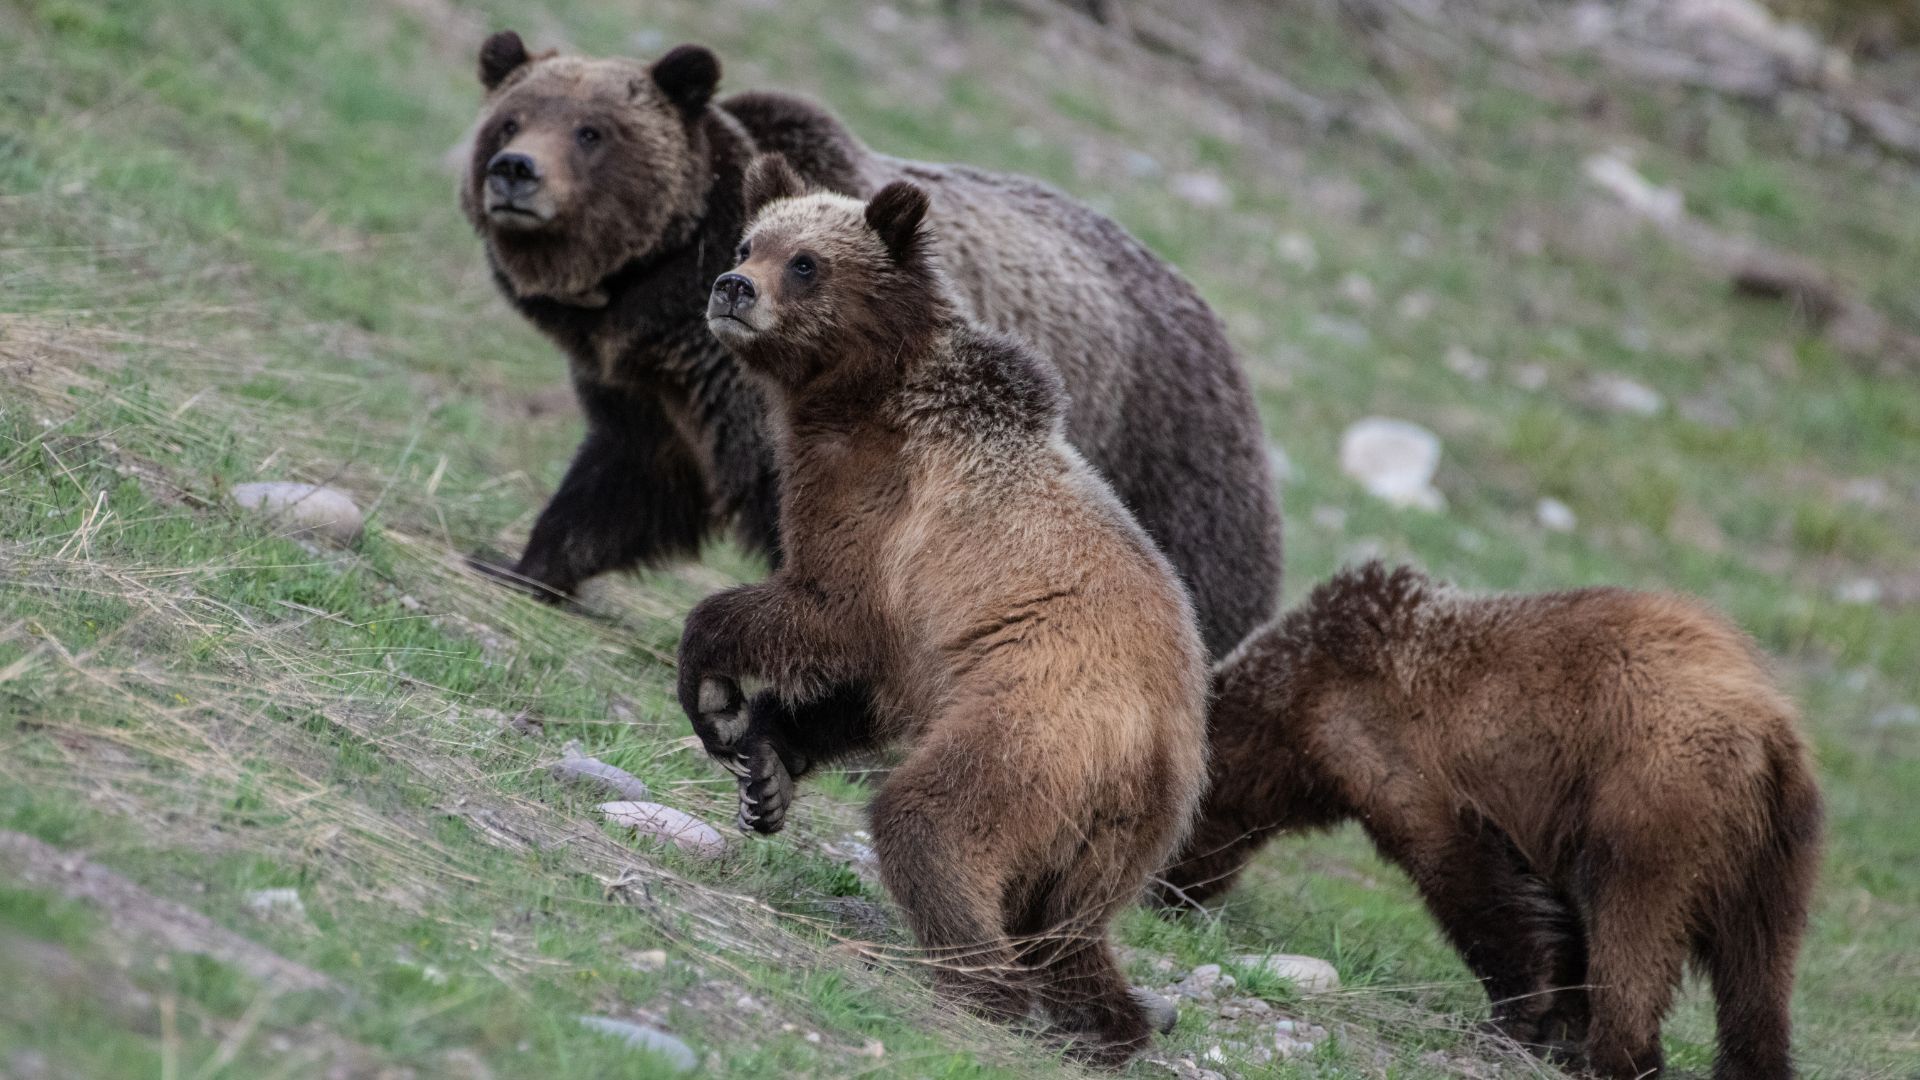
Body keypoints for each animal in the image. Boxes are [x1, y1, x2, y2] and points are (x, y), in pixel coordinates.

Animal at [457, 31, 1281, 663]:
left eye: (591, 131)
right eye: (510, 120)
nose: (514, 171)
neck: (662, 294)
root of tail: (1220, 327)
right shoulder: (657, 397)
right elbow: (618, 484)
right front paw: (520, 564)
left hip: (1163, 461)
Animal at [672, 156, 1209, 1066]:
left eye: (807, 262)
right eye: (750, 241)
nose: (731, 287)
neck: (862, 394)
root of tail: (1157, 751)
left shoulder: (883, 517)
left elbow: (824, 613)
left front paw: (714, 696)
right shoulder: (917, 636)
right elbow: (866, 684)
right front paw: (766, 774)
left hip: (1033, 728)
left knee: (930, 820)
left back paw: (978, 983)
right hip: (1115, 838)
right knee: (1071, 935)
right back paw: (1110, 1021)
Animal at [1154, 562, 1823, 1080]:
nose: (1163, 900)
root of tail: (1768, 733)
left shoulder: (1401, 759)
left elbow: (1475, 887)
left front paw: (1516, 1019)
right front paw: (1556, 1024)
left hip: (1653, 798)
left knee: (1636, 926)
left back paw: (1619, 1057)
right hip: (1777, 853)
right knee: (1759, 966)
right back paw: (1751, 1063)